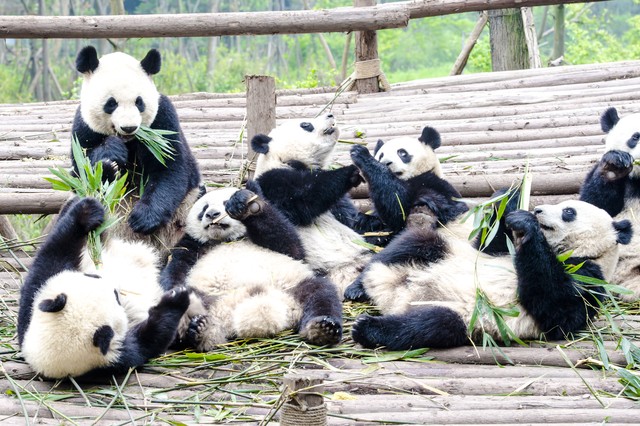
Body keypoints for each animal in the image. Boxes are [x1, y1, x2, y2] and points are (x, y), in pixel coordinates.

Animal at [17, 197, 189, 379]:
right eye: (117, 298)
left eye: (91, 276)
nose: (115, 284)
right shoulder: (116, 358)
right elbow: (149, 340)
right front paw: (175, 300)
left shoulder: (32, 304)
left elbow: (54, 252)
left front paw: (86, 211)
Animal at [71, 45, 202, 258]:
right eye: (111, 103)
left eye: (139, 102)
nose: (129, 127)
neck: (130, 141)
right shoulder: (83, 127)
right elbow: (81, 174)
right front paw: (109, 161)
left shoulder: (163, 121)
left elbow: (171, 168)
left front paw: (143, 218)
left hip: (187, 214)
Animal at [160, 186, 343, 352]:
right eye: (204, 208)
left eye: (225, 203)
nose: (212, 214)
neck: (225, 239)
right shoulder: (192, 245)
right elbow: (176, 267)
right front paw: (173, 287)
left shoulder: (281, 246)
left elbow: (290, 244)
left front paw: (245, 204)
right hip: (207, 296)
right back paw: (201, 330)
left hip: (293, 287)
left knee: (321, 294)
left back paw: (322, 329)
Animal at [250, 114, 372, 293]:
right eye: (306, 124)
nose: (330, 115)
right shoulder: (273, 183)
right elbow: (304, 199)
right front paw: (350, 171)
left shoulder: (338, 205)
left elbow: (351, 218)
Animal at [350, 200, 632, 350]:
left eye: (568, 211)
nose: (538, 210)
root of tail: (393, 293)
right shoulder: (494, 251)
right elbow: (488, 242)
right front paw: (510, 205)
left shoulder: (589, 276)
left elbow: (554, 305)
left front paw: (526, 224)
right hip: (443, 251)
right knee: (415, 243)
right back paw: (358, 287)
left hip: (467, 317)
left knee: (428, 326)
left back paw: (367, 328)